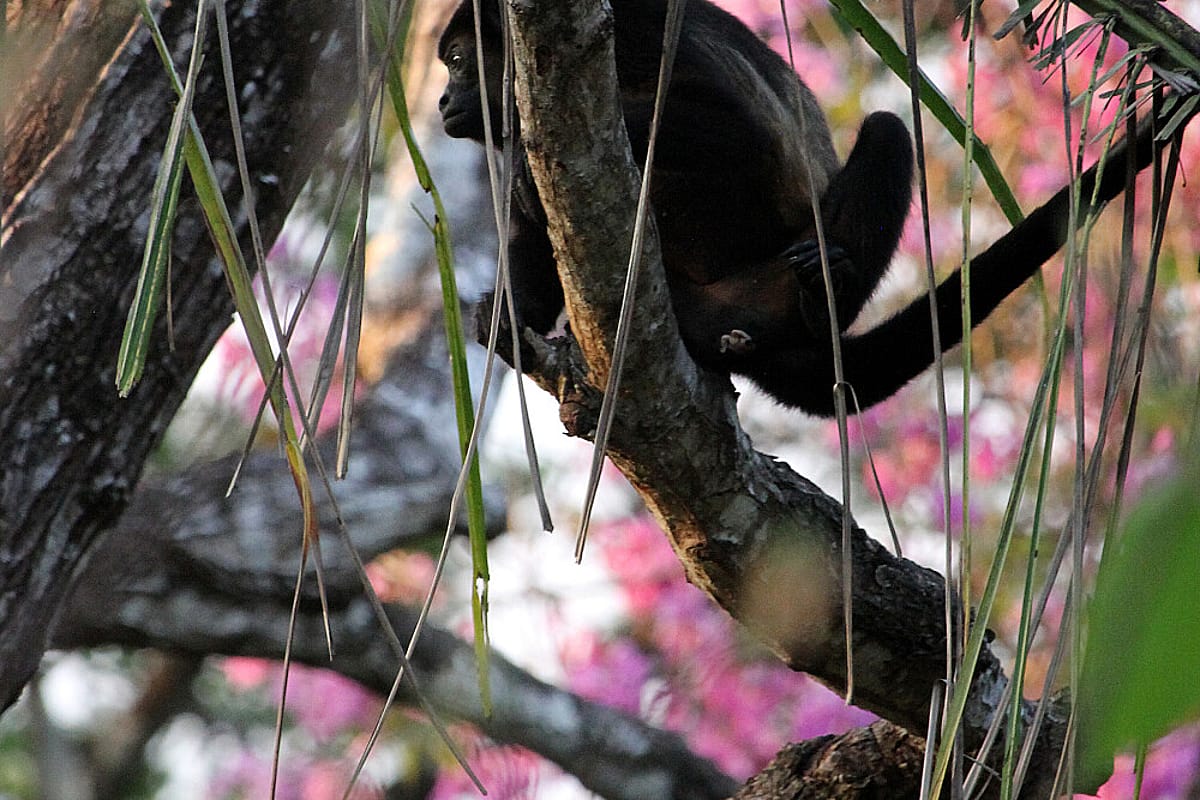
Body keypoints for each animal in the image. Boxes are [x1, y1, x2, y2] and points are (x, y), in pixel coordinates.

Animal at [438, 0, 1168, 417]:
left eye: (457, 60)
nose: (442, 100)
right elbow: (529, 219)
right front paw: (509, 319)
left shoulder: (629, 32)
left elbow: (739, 129)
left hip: (770, 282)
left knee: (887, 132)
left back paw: (825, 302)